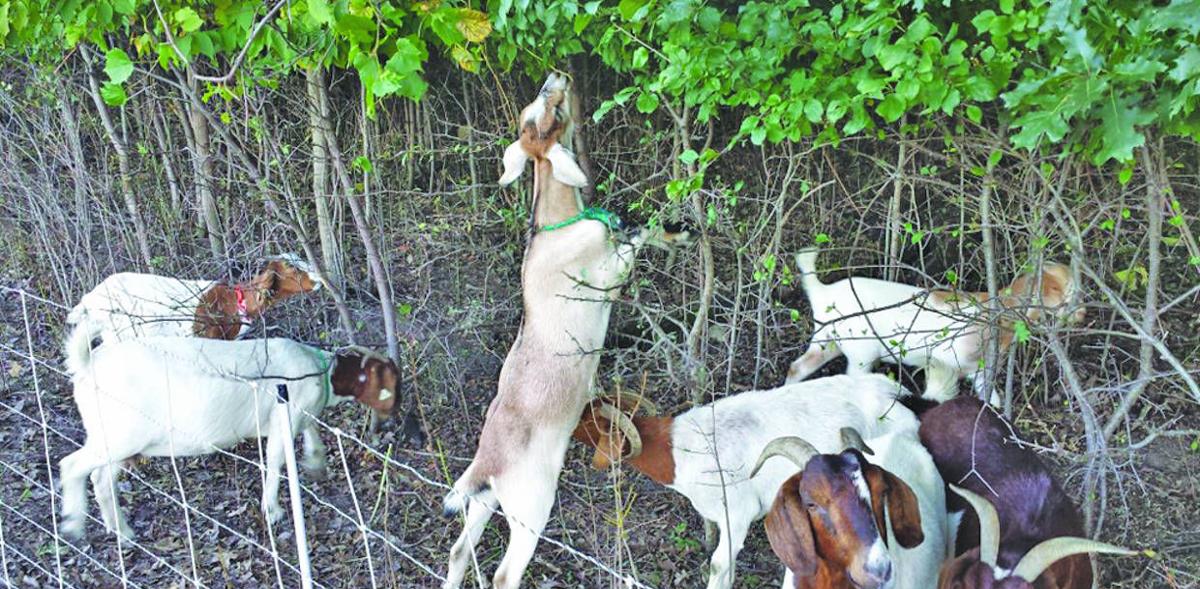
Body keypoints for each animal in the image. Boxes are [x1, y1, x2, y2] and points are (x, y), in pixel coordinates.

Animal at [58, 325, 397, 541]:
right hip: (119, 436)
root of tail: (85, 366)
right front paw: (273, 510)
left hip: (118, 442)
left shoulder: (298, 414)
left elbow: (311, 429)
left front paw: (316, 463)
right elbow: (275, 462)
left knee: (101, 479)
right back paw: (74, 523)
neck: (321, 372)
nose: (389, 421)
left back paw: (122, 532)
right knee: (71, 466)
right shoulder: (282, 419)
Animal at [441, 73, 687, 589]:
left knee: (458, 549)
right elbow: (634, 236)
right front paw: (657, 227)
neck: (557, 227)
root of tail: (488, 463)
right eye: (548, 115)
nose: (557, 76)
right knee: (504, 574)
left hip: (486, 501)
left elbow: (643, 228)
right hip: (530, 509)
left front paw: (679, 231)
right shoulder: (605, 276)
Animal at [785, 249, 1084, 401]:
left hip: (827, 342)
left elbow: (992, 399)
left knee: (797, 368)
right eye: (1068, 291)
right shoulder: (945, 363)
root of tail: (822, 292)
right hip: (861, 353)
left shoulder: (980, 371)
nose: (1084, 314)